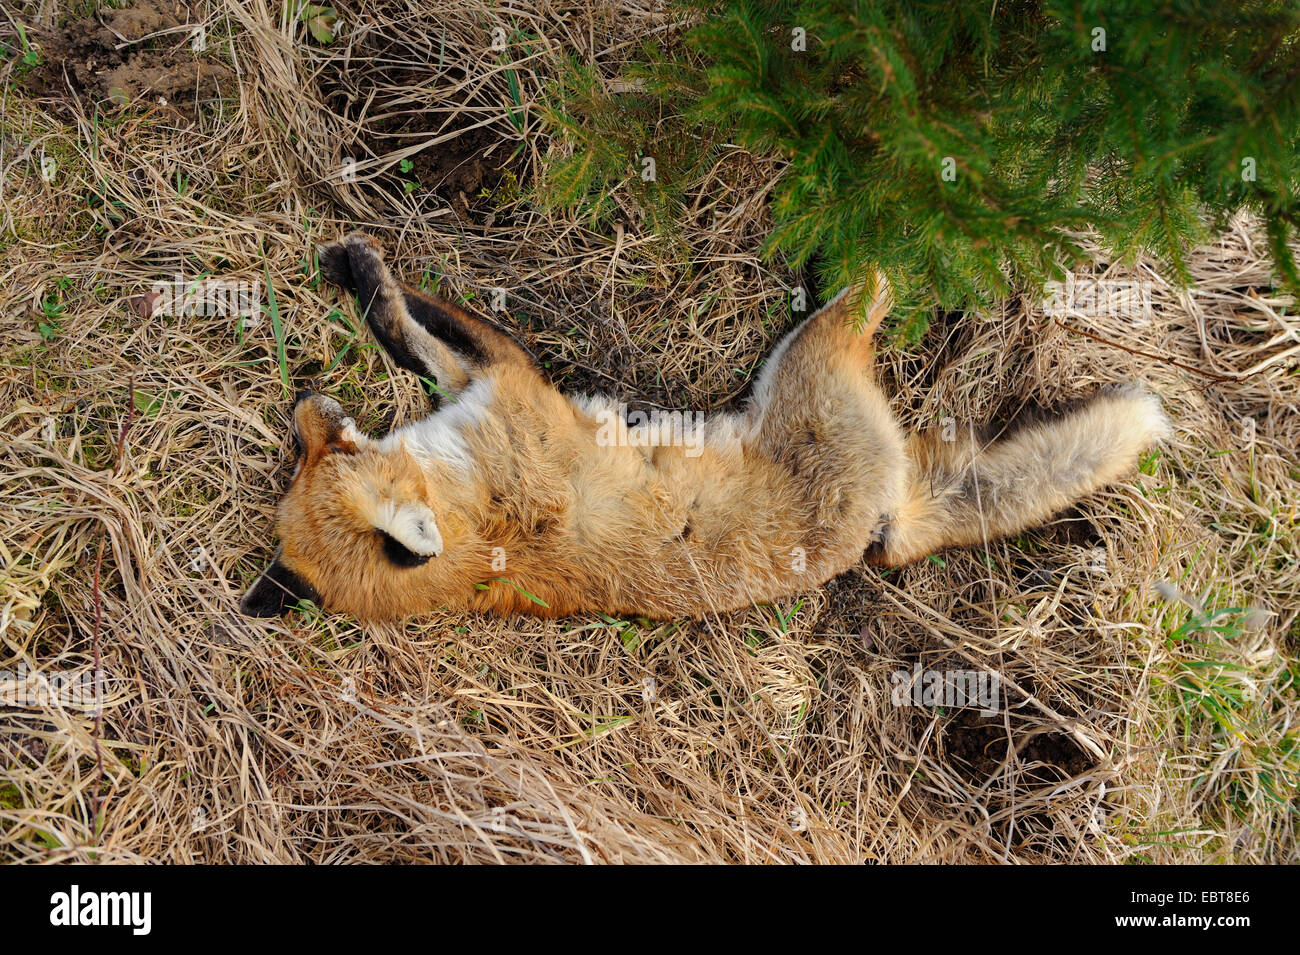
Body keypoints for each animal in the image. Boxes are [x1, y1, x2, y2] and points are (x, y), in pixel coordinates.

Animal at [240, 232, 1172, 622]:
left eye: (323, 449)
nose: (305, 405)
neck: (483, 525)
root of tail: (886, 523)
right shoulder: (511, 386)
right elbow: (416, 324)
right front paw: (366, 275)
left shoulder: (500, 383)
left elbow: (409, 325)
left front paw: (353, 269)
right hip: (811, 361)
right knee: (879, 286)